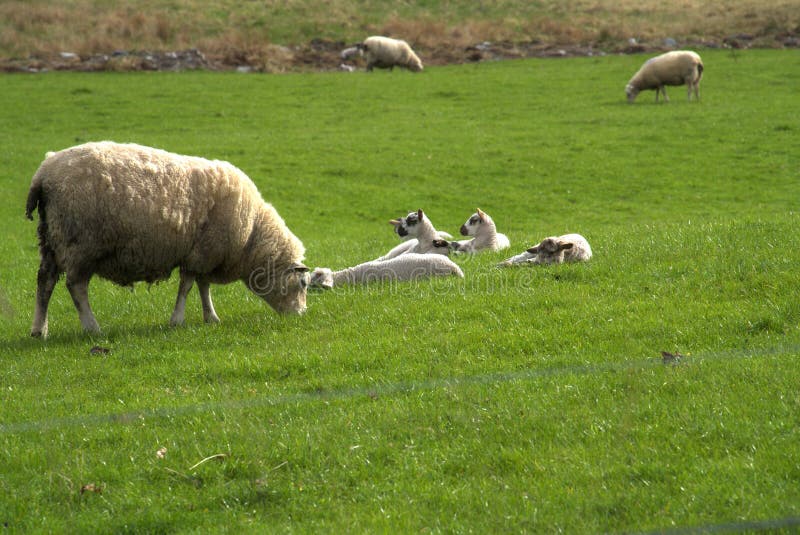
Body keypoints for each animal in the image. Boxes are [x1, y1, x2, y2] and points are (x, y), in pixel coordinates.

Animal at [25, 141, 310, 338]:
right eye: (303, 283)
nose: (301, 314)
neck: (252, 235)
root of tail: (43, 174)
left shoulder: (204, 252)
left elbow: (203, 286)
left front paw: (211, 317)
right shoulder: (200, 254)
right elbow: (187, 287)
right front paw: (178, 320)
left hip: (50, 239)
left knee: (45, 282)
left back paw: (40, 330)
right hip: (80, 244)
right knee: (76, 286)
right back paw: (92, 327)